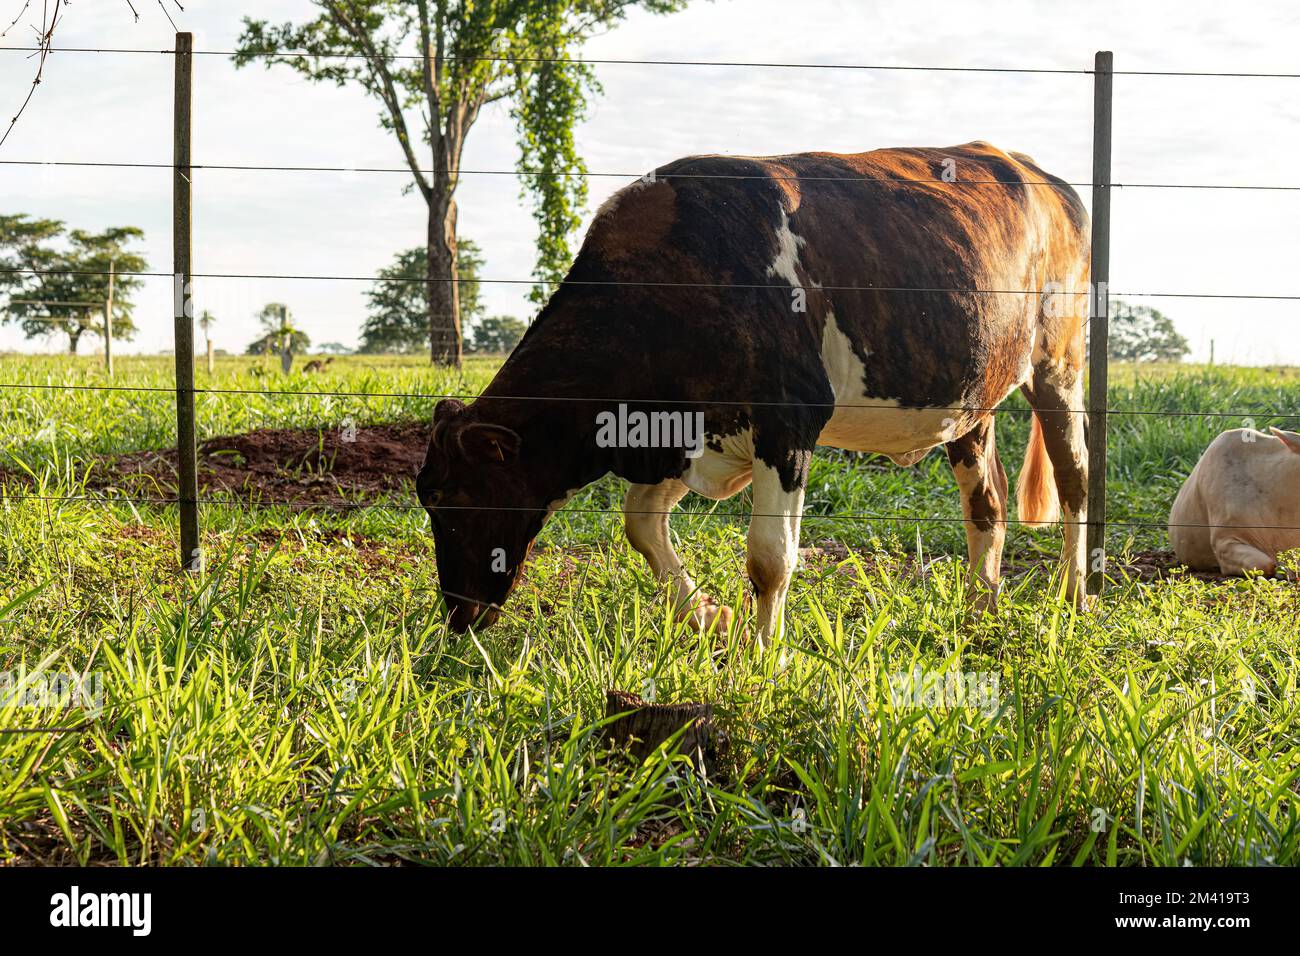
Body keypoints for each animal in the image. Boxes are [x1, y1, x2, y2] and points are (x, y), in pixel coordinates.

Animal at [416, 141, 1092, 645]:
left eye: (455, 500)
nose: (459, 616)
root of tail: (1040, 175)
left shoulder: (787, 422)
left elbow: (770, 557)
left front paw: (766, 655)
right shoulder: (690, 431)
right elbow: (641, 524)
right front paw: (710, 615)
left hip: (1058, 361)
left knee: (1075, 476)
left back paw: (1073, 595)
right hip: (972, 396)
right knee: (988, 502)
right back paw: (980, 607)